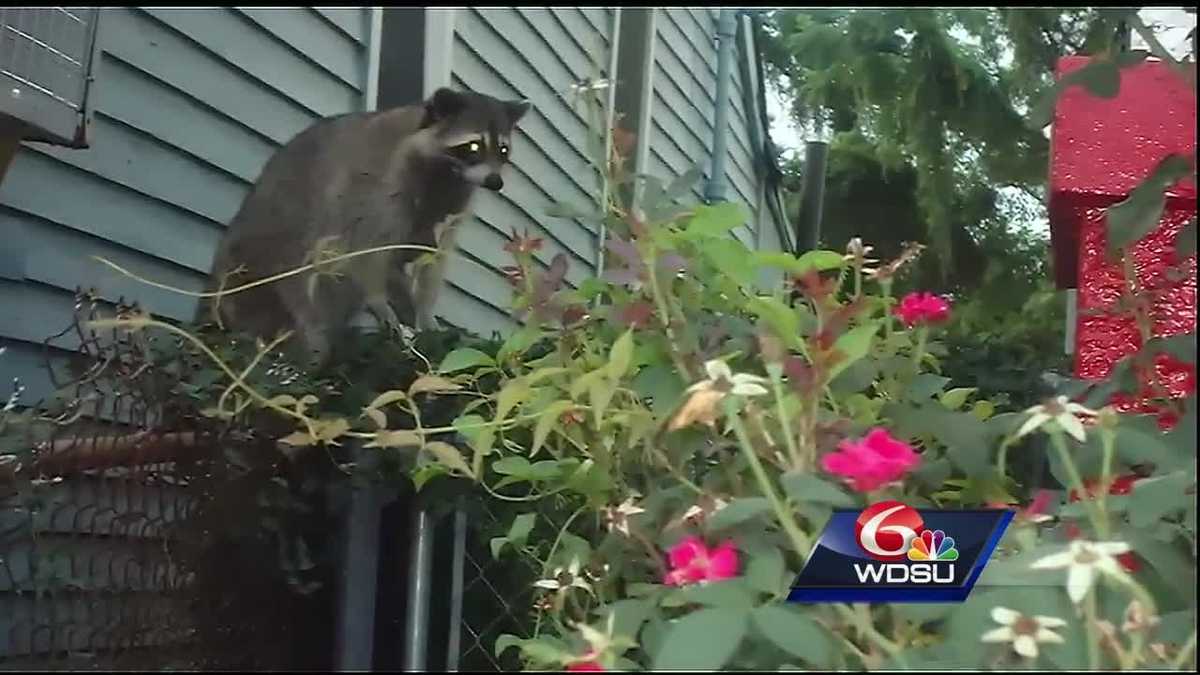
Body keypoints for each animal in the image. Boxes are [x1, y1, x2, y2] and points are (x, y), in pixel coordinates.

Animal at [198, 88, 530, 365]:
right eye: (473, 146)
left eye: (503, 150)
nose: (495, 182)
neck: (449, 174)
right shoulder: (376, 189)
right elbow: (365, 250)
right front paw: (381, 302)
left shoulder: (449, 212)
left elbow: (430, 260)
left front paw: (423, 313)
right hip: (271, 252)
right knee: (304, 291)